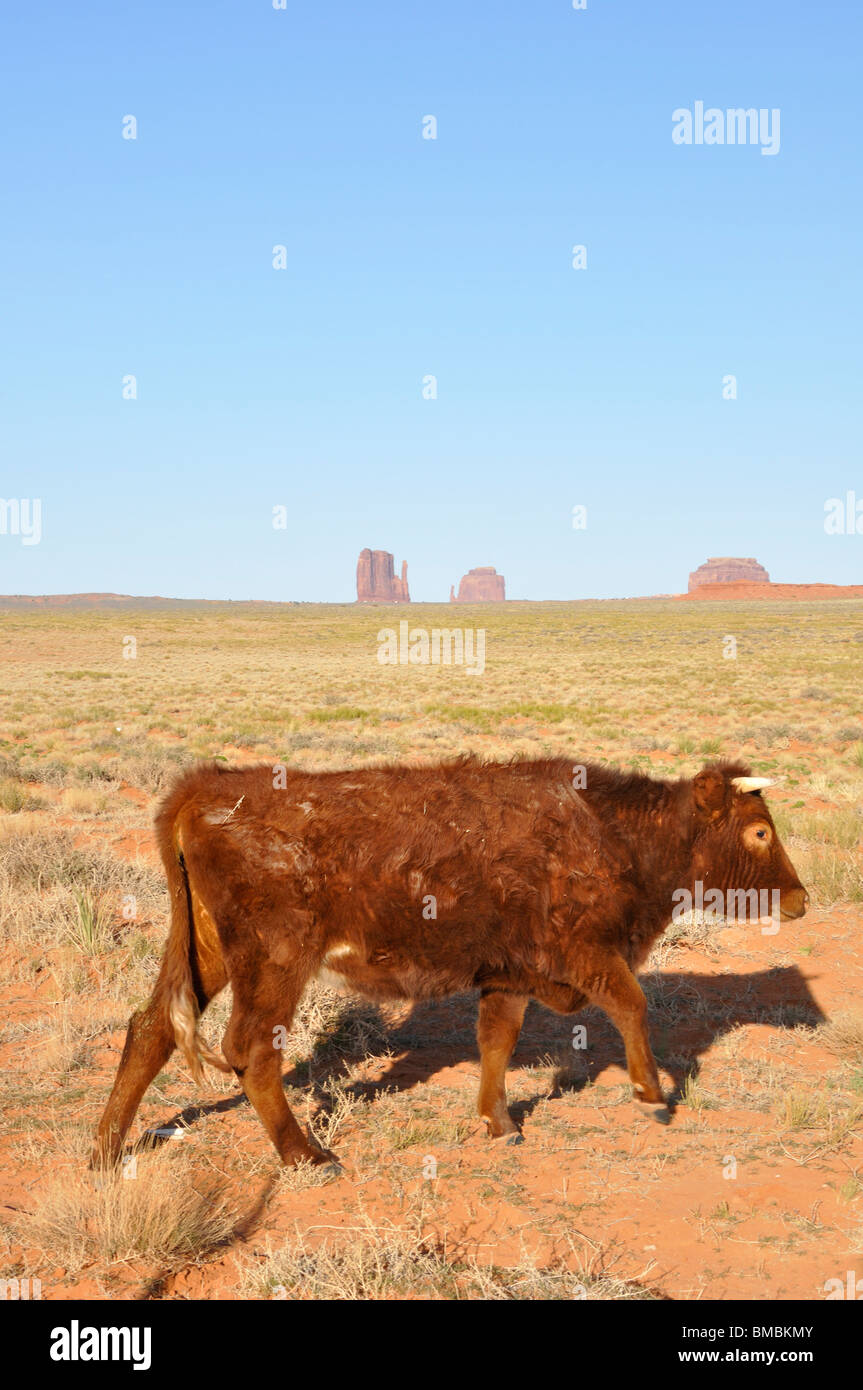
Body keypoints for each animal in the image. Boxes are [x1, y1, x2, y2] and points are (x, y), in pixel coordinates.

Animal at [92, 756, 808, 1169]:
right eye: (759, 831)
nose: (801, 899)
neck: (612, 830)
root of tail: (204, 789)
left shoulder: (510, 975)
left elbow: (498, 1040)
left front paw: (499, 1122)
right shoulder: (586, 955)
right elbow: (632, 1004)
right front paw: (652, 1095)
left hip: (207, 955)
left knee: (151, 1028)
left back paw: (104, 1152)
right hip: (274, 964)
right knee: (250, 1052)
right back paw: (307, 1155)